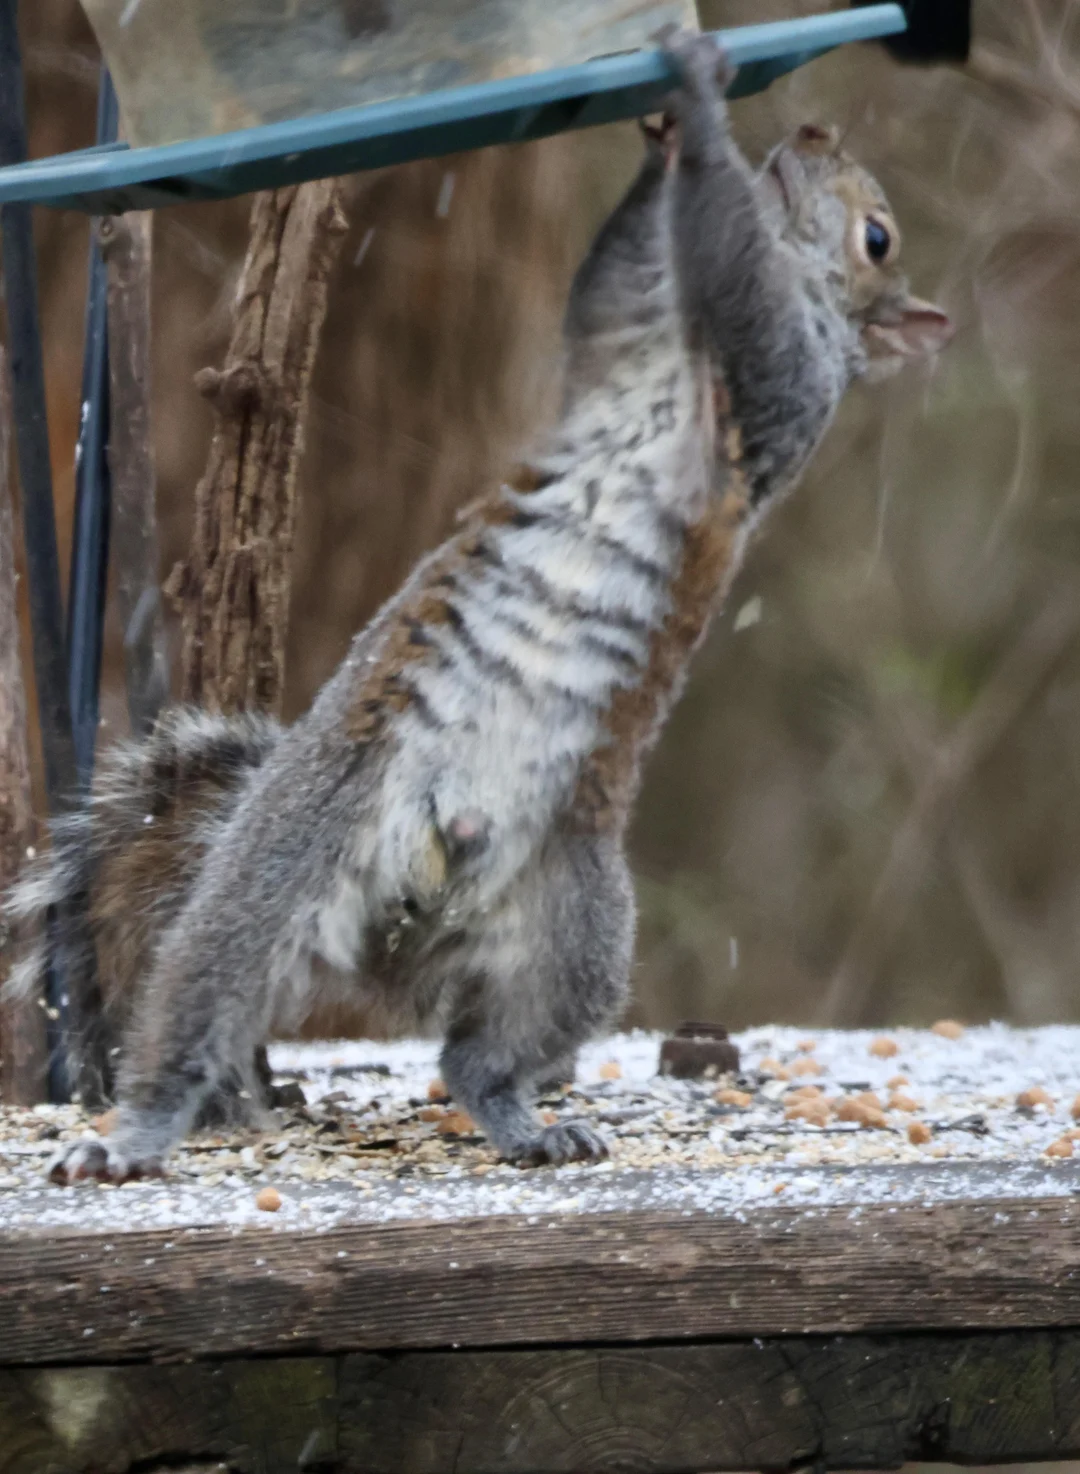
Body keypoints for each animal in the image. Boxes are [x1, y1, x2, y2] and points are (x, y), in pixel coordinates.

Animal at [3, 31, 952, 1182]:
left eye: (877, 237)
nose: (811, 133)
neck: (683, 345)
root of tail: (401, 933)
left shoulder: (773, 381)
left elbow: (737, 271)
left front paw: (695, 98)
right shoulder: (627, 330)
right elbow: (615, 277)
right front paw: (659, 126)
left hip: (574, 926)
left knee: (479, 1055)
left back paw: (526, 1121)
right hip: (278, 873)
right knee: (204, 1012)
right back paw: (138, 1132)